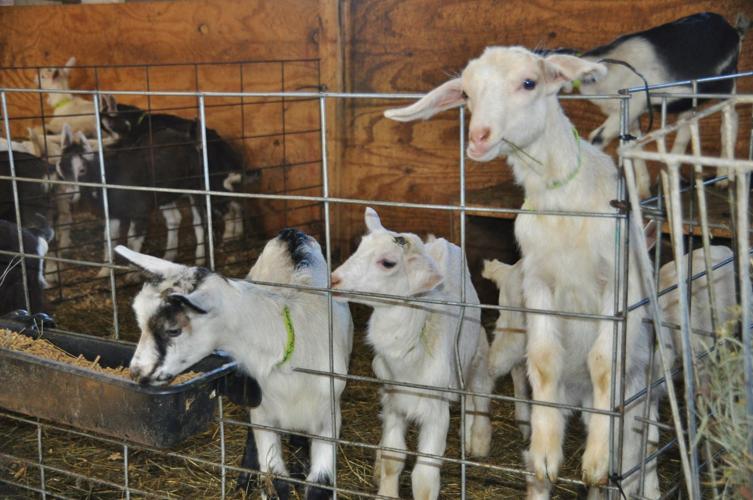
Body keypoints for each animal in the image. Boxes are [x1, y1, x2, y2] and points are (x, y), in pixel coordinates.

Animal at [118, 228, 353, 500]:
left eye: (173, 330)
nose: (137, 372)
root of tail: (291, 234)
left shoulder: (328, 418)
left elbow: (320, 485)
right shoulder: (264, 415)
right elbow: (274, 480)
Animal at [331, 207, 491, 500]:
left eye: (388, 263)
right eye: (359, 246)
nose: (334, 279)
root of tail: (440, 242)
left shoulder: (436, 410)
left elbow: (425, 477)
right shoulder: (394, 399)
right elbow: (394, 457)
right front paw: (386, 490)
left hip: (477, 350)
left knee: (480, 390)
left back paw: (477, 440)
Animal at [384, 46, 666, 498]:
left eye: (529, 83)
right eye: (466, 93)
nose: (479, 137)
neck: (565, 206)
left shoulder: (617, 285)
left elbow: (604, 361)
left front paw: (598, 459)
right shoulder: (539, 284)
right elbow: (545, 359)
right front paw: (547, 454)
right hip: (513, 330)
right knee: (493, 370)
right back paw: (491, 434)